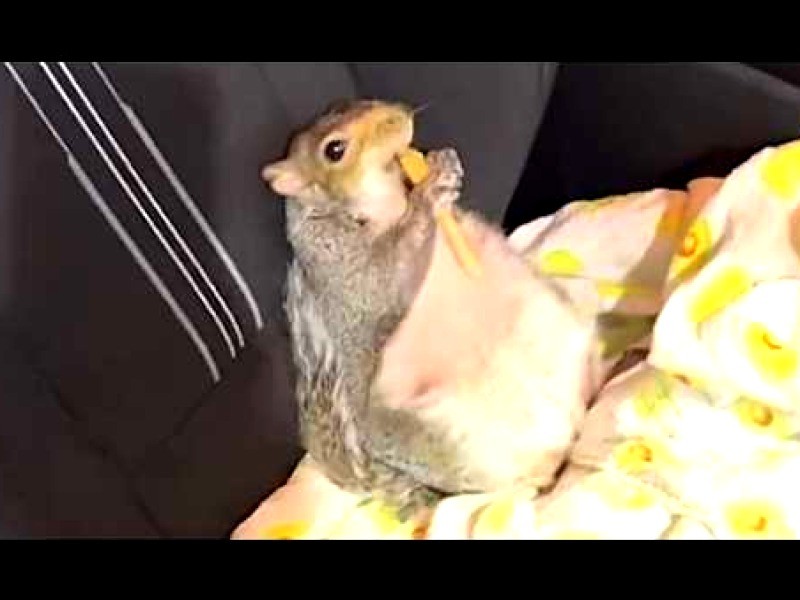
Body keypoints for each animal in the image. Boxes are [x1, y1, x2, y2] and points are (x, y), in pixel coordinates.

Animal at [262, 99, 600, 517]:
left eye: (352, 105)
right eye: (334, 150)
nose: (401, 118)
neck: (386, 202)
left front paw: (443, 163)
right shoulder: (342, 272)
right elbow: (385, 274)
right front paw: (429, 190)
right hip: (449, 439)